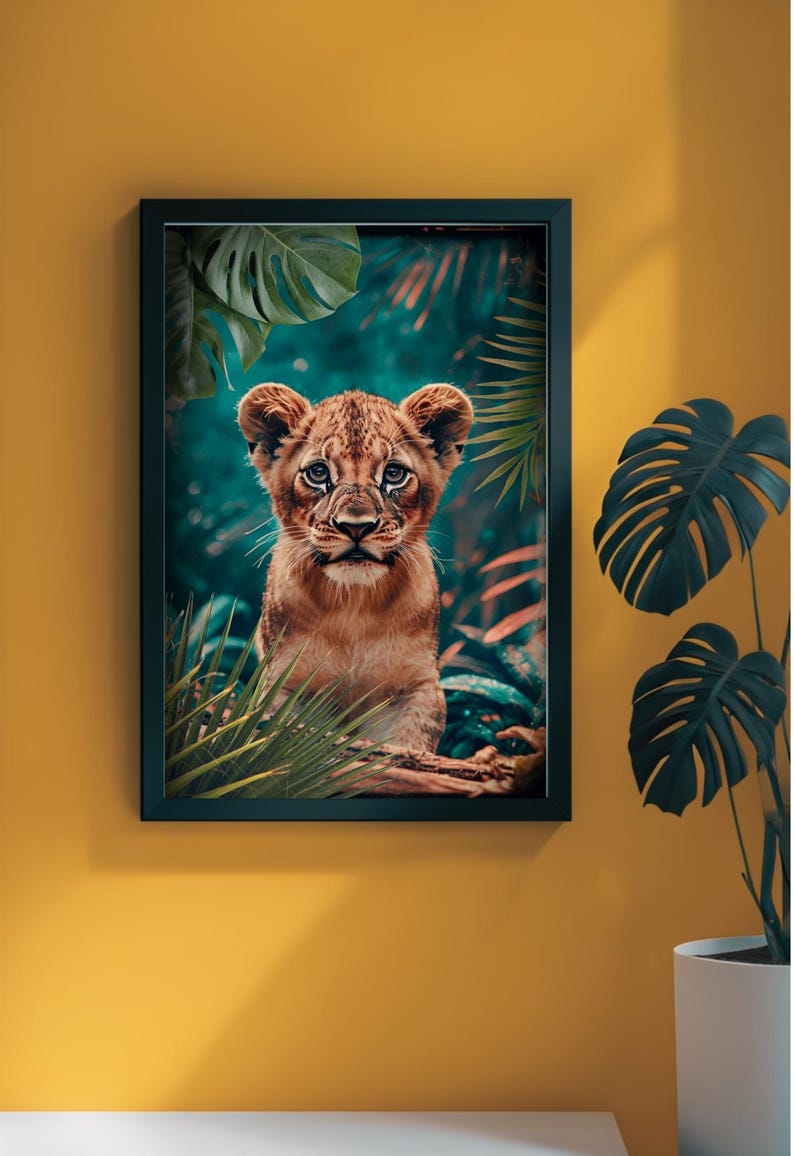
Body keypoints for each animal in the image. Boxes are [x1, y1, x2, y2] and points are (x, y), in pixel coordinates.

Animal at [237, 381, 474, 753]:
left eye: (394, 473)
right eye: (318, 472)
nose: (356, 526)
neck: (354, 605)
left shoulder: (418, 686)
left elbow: (407, 744)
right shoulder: (283, 684)